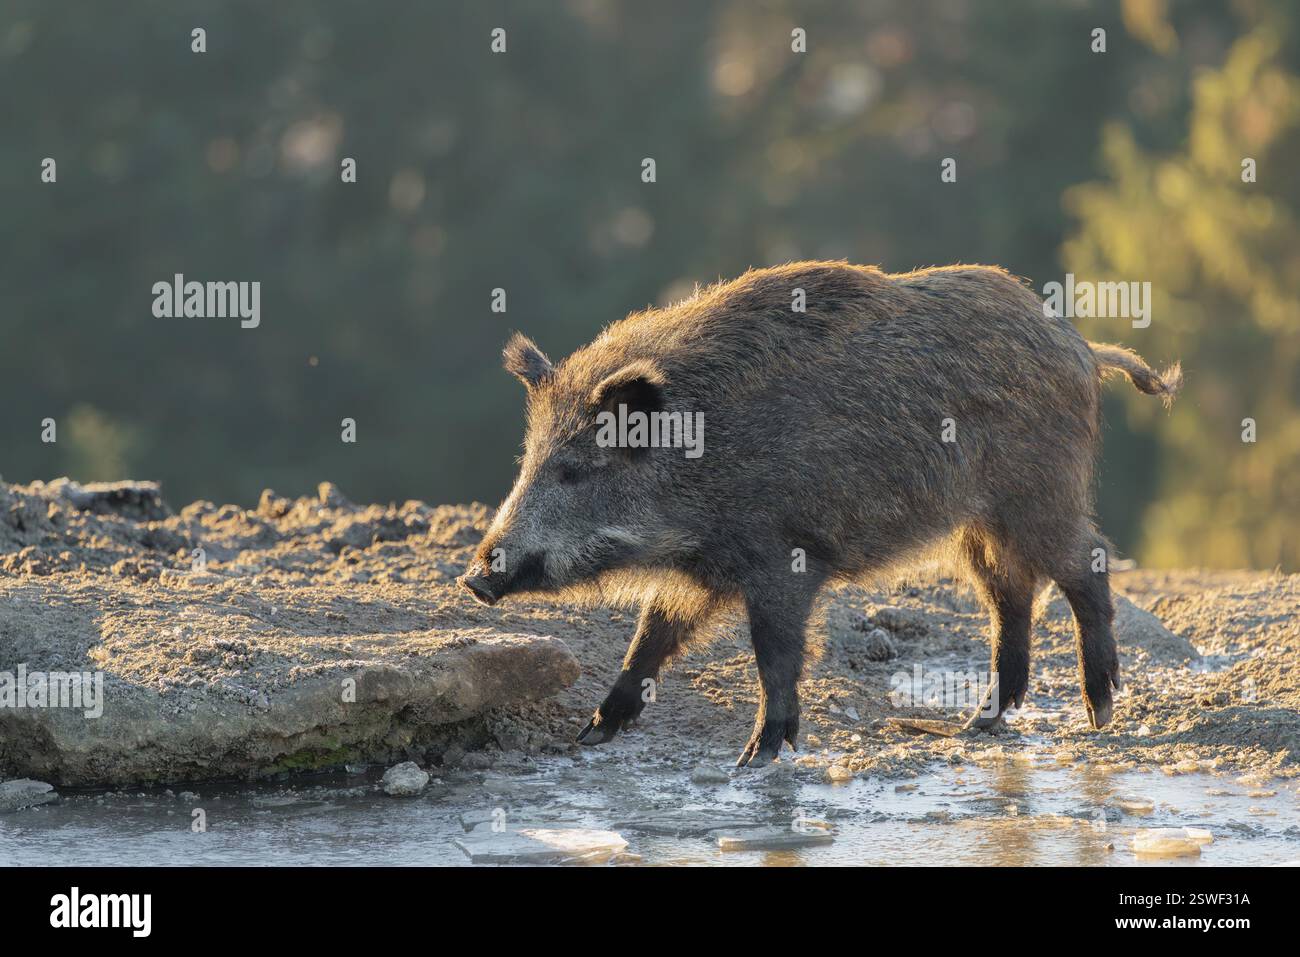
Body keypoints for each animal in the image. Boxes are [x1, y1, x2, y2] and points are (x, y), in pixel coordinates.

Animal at [459, 262, 1180, 765]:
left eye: (575, 470)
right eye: (528, 460)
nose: (474, 577)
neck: (699, 463)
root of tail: (1082, 346)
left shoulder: (781, 559)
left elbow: (773, 654)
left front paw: (756, 757)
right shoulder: (702, 572)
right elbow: (651, 637)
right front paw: (589, 733)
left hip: (1038, 494)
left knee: (1086, 565)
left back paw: (1099, 709)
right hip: (978, 524)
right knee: (1012, 596)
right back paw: (980, 721)